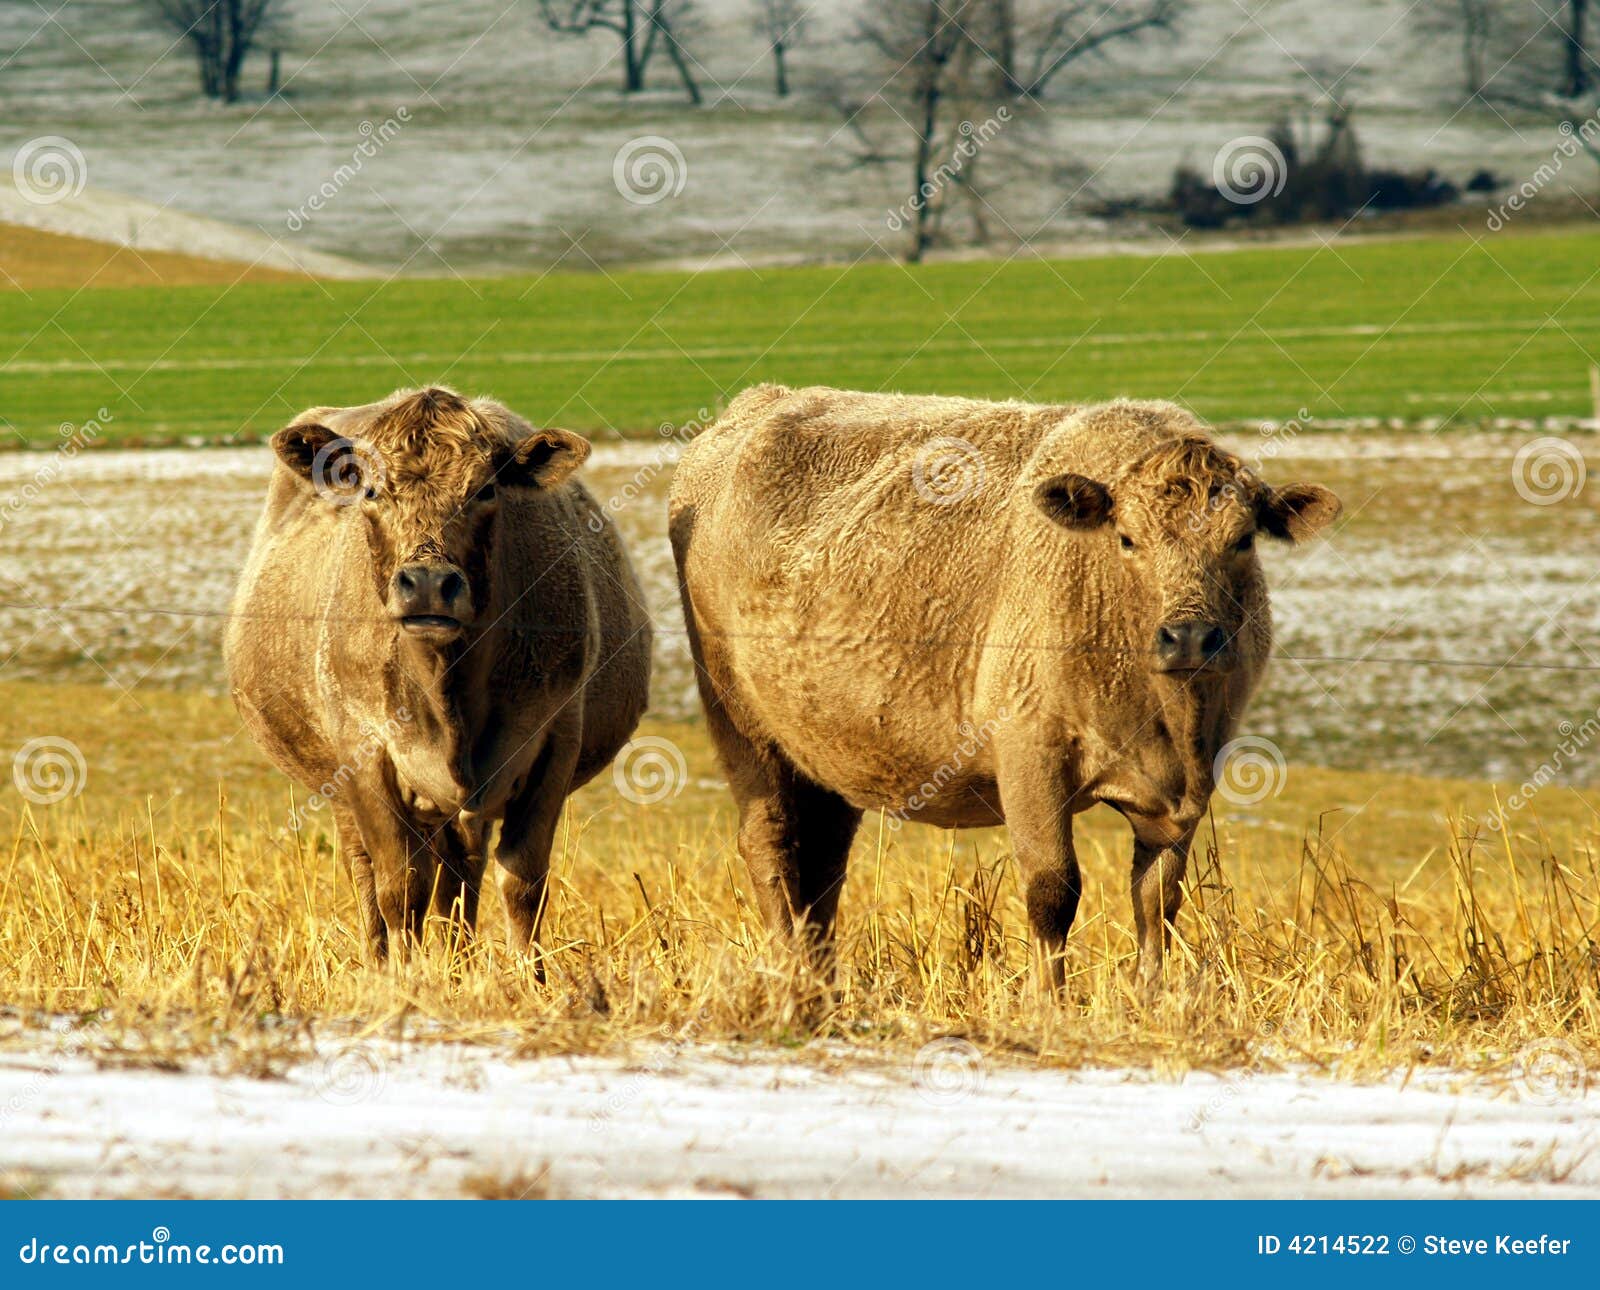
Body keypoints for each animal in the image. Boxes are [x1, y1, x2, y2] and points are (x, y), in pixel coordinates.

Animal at [226, 386, 652, 964]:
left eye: (486, 490)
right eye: (372, 490)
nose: (428, 583)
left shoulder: (554, 741)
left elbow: (523, 884)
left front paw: (529, 976)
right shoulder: (366, 753)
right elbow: (398, 887)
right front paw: (406, 975)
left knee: (459, 881)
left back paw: (459, 959)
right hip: (345, 792)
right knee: (371, 874)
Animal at [669, 385, 1339, 989]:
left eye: (1242, 540)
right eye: (1127, 538)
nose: (1192, 637)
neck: (1163, 718)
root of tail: (755, 405)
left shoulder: (1183, 793)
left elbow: (1158, 902)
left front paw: (1151, 997)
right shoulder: (1029, 757)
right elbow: (1053, 891)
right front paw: (1049, 1004)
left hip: (830, 751)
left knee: (823, 860)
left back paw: (821, 981)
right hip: (743, 728)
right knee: (772, 846)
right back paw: (790, 979)